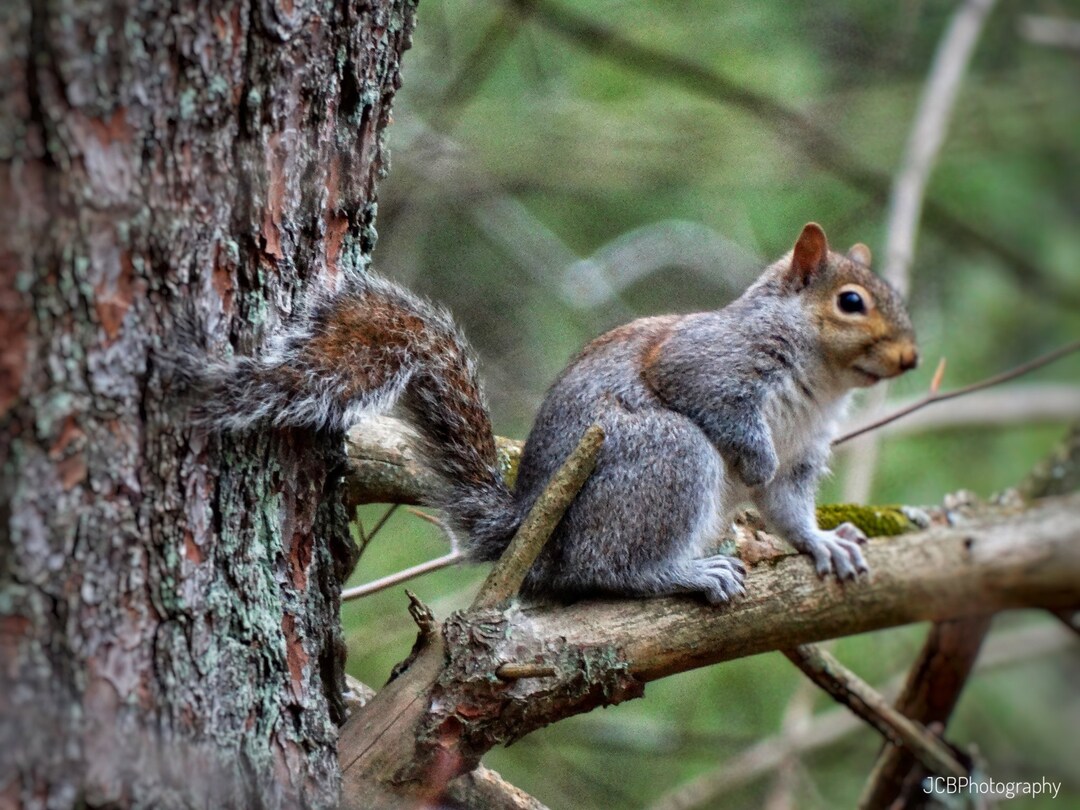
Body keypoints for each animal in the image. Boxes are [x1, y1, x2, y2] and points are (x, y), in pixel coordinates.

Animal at [181, 222, 918, 604]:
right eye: (852, 302)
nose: (911, 358)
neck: (821, 384)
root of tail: (530, 535)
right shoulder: (709, 362)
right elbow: (712, 401)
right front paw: (755, 459)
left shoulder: (805, 456)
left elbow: (788, 508)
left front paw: (822, 543)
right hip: (665, 457)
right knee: (601, 569)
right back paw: (683, 572)